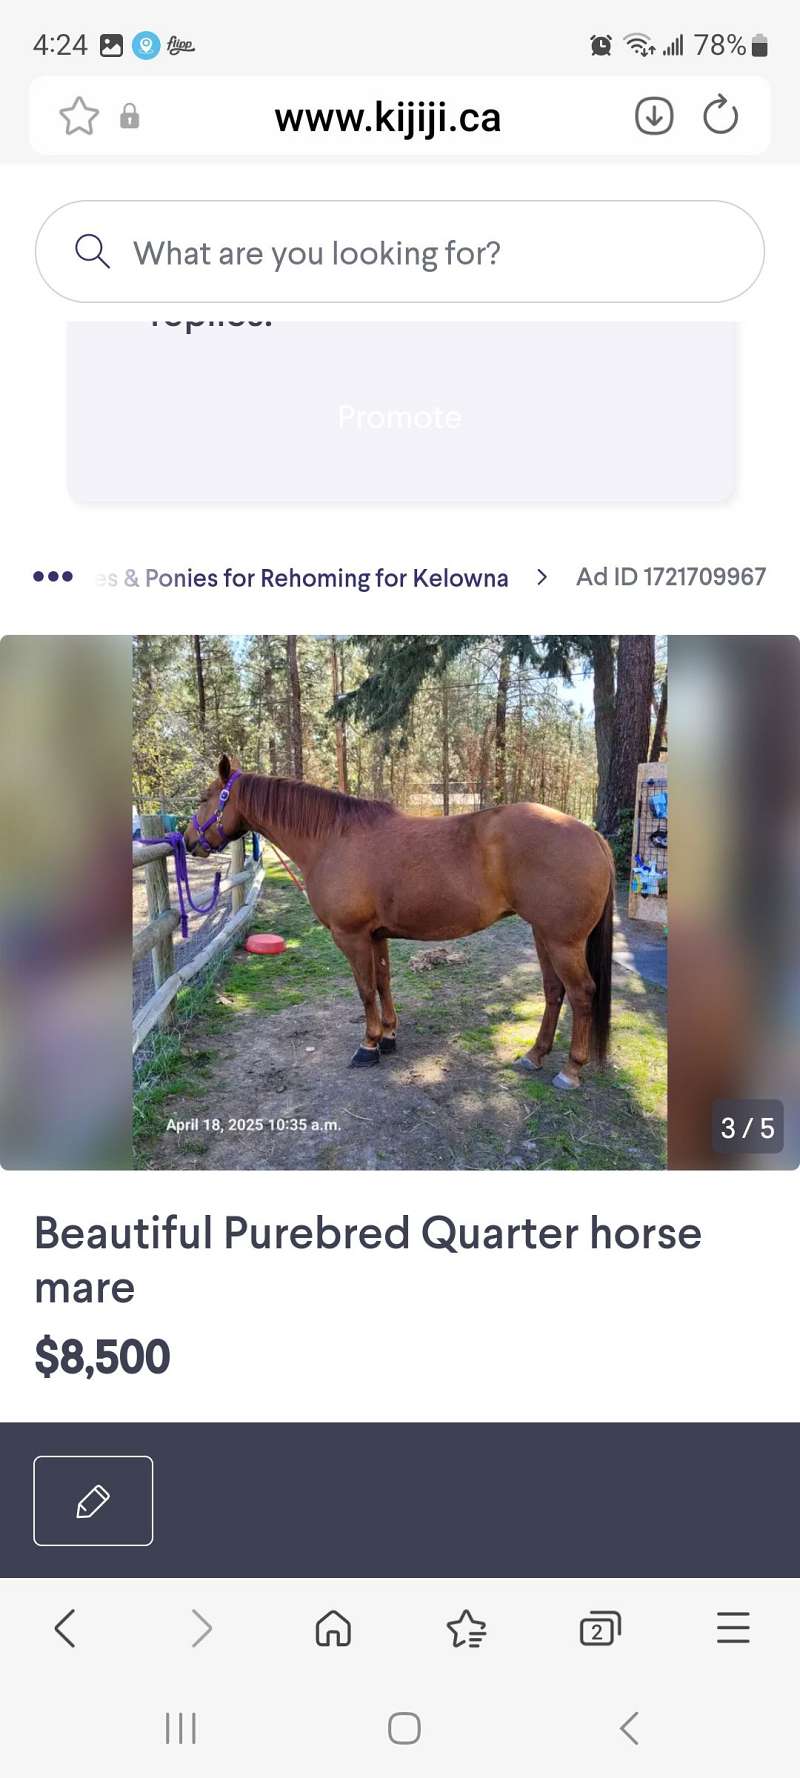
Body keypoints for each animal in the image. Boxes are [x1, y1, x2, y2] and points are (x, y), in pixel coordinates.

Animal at [185, 755, 615, 1087]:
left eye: (205, 798)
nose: (188, 840)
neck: (331, 838)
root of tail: (592, 836)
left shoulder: (352, 936)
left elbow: (364, 990)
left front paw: (369, 1044)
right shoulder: (376, 936)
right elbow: (383, 982)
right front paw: (389, 1035)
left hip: (562, 941)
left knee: (581, 994)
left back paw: (570, 1070)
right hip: (543, 934)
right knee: (554, 991)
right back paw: (535, 1055)